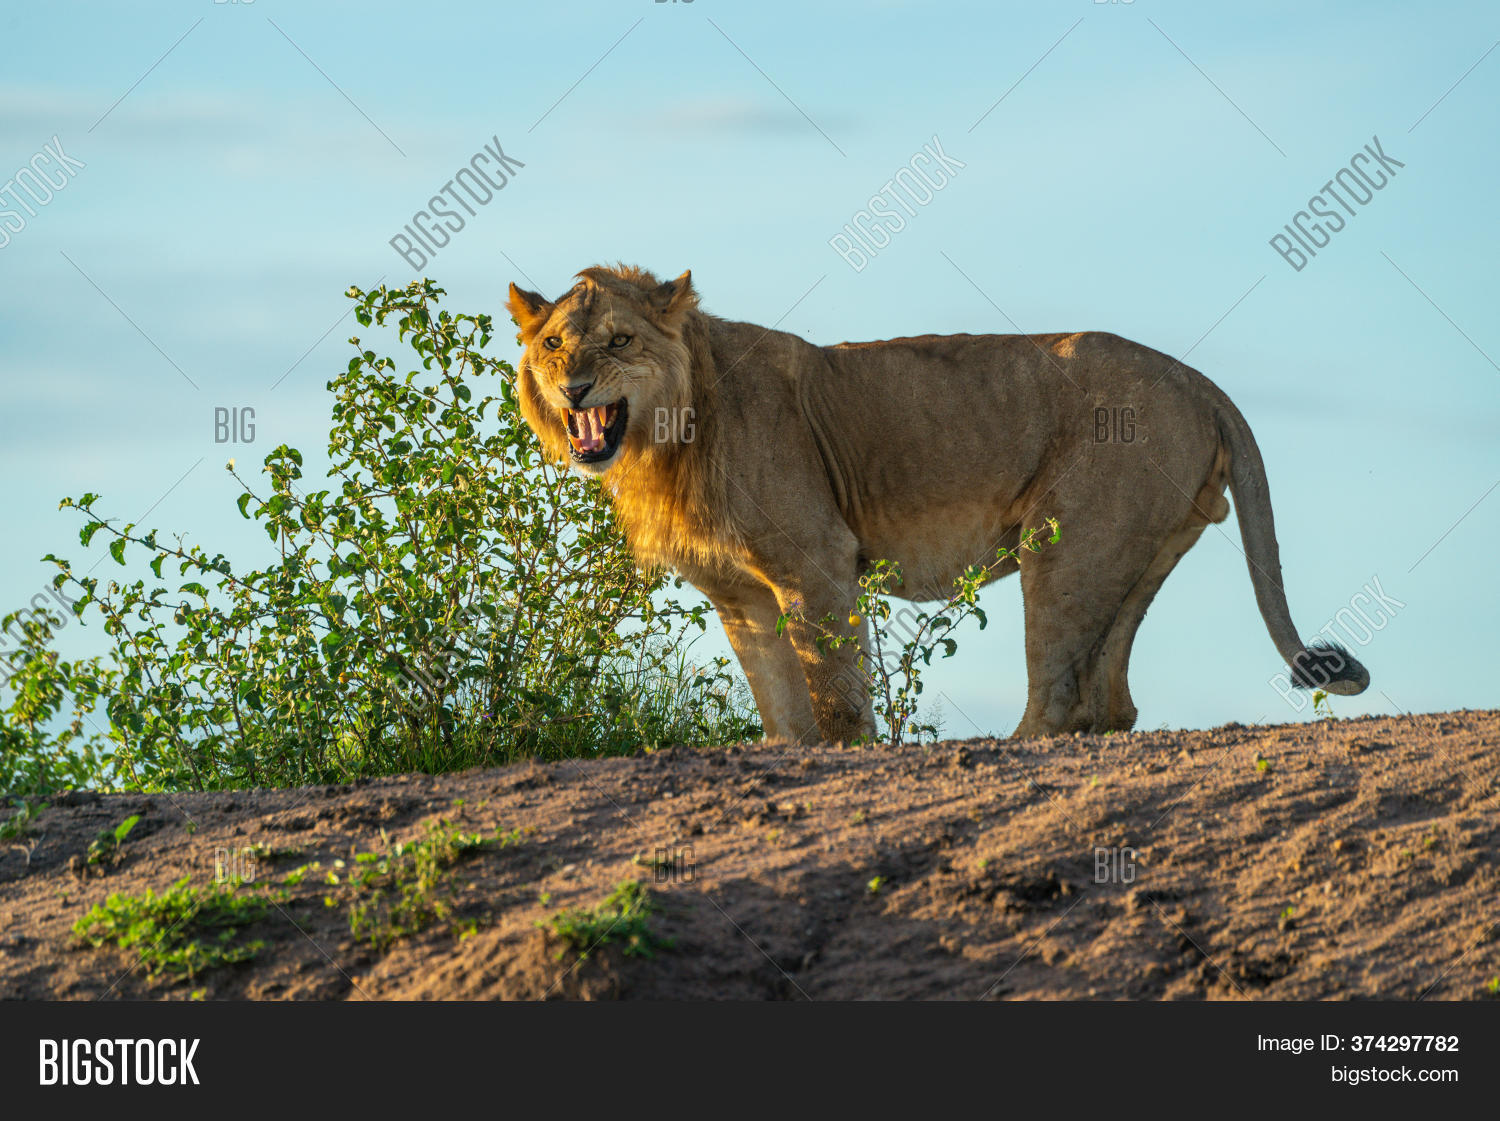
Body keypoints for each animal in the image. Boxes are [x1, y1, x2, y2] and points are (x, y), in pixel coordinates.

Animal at [505, 264, 1369, 743]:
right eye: (553, 344)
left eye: (619, 340)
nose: (574, 385)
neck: (668, 436)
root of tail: (1200, 381)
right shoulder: (739, 592)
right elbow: (780, 703)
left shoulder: (817, 561)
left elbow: (835, 694)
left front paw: (849, 754)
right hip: (1140, 548)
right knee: (1110, 700)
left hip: (1066, 544)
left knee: (1062, 693)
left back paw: (1007, 744)